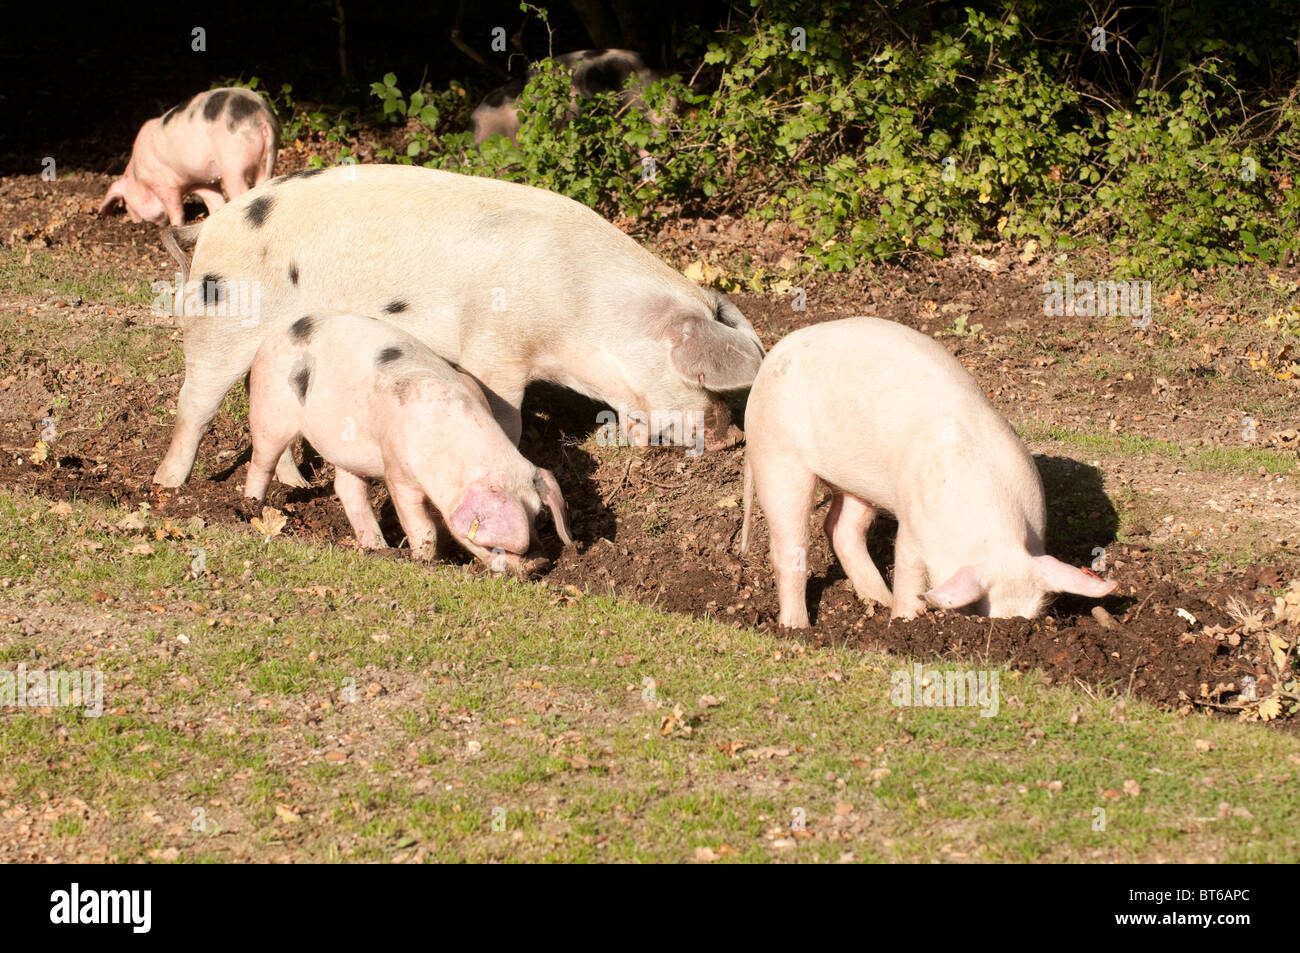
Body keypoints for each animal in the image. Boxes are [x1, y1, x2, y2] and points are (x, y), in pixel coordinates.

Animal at [99, 88, 279, 227]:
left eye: (128, 205)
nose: (137, 222)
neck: (139, 178)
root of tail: (261, 118)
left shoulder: (165, 184)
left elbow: (176, 210)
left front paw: (174, 226)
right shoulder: (202, 181)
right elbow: (214, 199)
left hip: (233, 164)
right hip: (266, 157)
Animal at [152, 163, 764, 488]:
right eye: (697, 378)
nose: (734, 437)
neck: (581, 325)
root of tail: (213, 225)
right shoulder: (492, 349)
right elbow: (506, 416)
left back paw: (298, 484)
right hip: (221, 318)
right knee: (194, 403)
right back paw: (168, 484)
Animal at [244, 312, 573, 569]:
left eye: (538, 517)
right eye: (492, 546)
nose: (538, 566)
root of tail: (282, 330)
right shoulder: (398, 471)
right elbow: (422, 525)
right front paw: (426, 561)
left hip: (348, 446)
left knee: (347, 488)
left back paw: (377, 547)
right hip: (269, 408)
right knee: (261, 463)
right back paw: (251, 507)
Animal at [740, 317, 1118, 627]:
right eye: (979, 605)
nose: (1010, 624)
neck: (995, 533)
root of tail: (769, 361)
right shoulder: (913, 525)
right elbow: (909, 571)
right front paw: (904, 620)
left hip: (859, 483)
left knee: (841, 527)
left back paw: (879, 600)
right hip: (778, 457)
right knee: (789, 545)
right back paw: (797, 628)